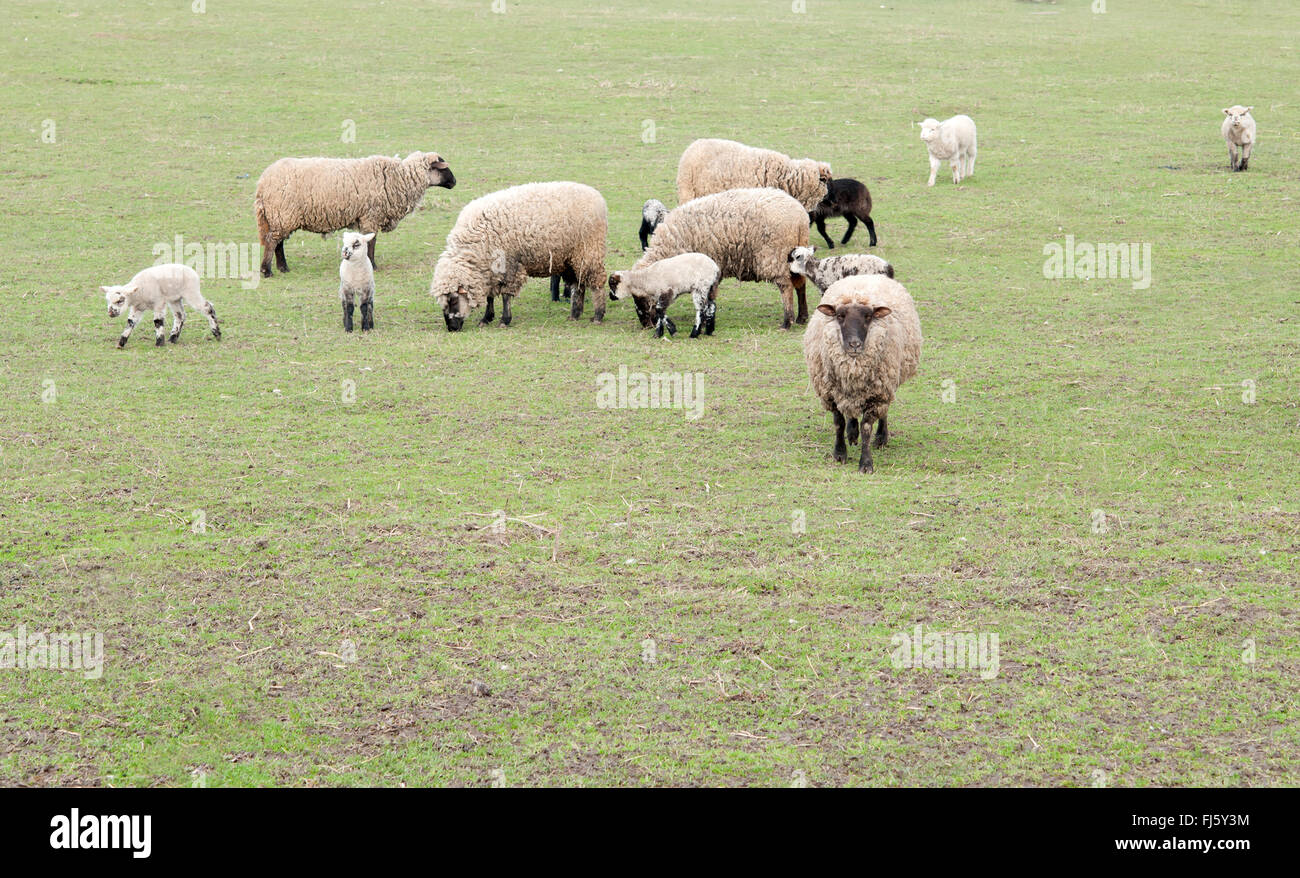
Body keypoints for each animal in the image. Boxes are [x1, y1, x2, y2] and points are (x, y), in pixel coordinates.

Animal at [254, 151, 456, 277]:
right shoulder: (371, 216)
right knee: (273, 241)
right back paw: (267, 271)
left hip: (281, 217)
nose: (454, 182)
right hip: (283, 213)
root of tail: (263, 182)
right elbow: (371, 242)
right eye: (443, 168)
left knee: (278, 243)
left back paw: (283, 268)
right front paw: (372, 265)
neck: (399, 177)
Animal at [431, 181, 608, 331]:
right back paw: (575, 315)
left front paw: (504, 320)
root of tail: (597, 196)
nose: (452, 328)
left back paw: (598, 315)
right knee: (578, 285)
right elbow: (490, 297)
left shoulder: (509, 266)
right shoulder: (490, 270)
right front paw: (486, 318)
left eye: (454, 300)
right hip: (571, 258)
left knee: (596, 282)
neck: (475, 248)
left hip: (589, 250)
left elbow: (505, 296)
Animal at [634, 187, 812, 329]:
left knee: (786, 287)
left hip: (774, 256)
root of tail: (800, 218)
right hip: (795, 254)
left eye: (642, 297)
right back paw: (802, 317)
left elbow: (706, 298)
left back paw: (787, 322)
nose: (646, 325)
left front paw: (703, 323)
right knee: (800, 284)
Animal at [802, 274, 921, 473]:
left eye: (868, 317)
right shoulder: (830, 394)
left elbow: (866, 428)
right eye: (840, 316)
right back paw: (852, 434)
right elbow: (839, 423)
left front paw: (866, 463)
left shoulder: (877, 393)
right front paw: (840, 453)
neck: (853, 365)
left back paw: (881, 437)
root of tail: (869, 275)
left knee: (883, 412)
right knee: (850, 412)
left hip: (886, 384)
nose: (855, 344)